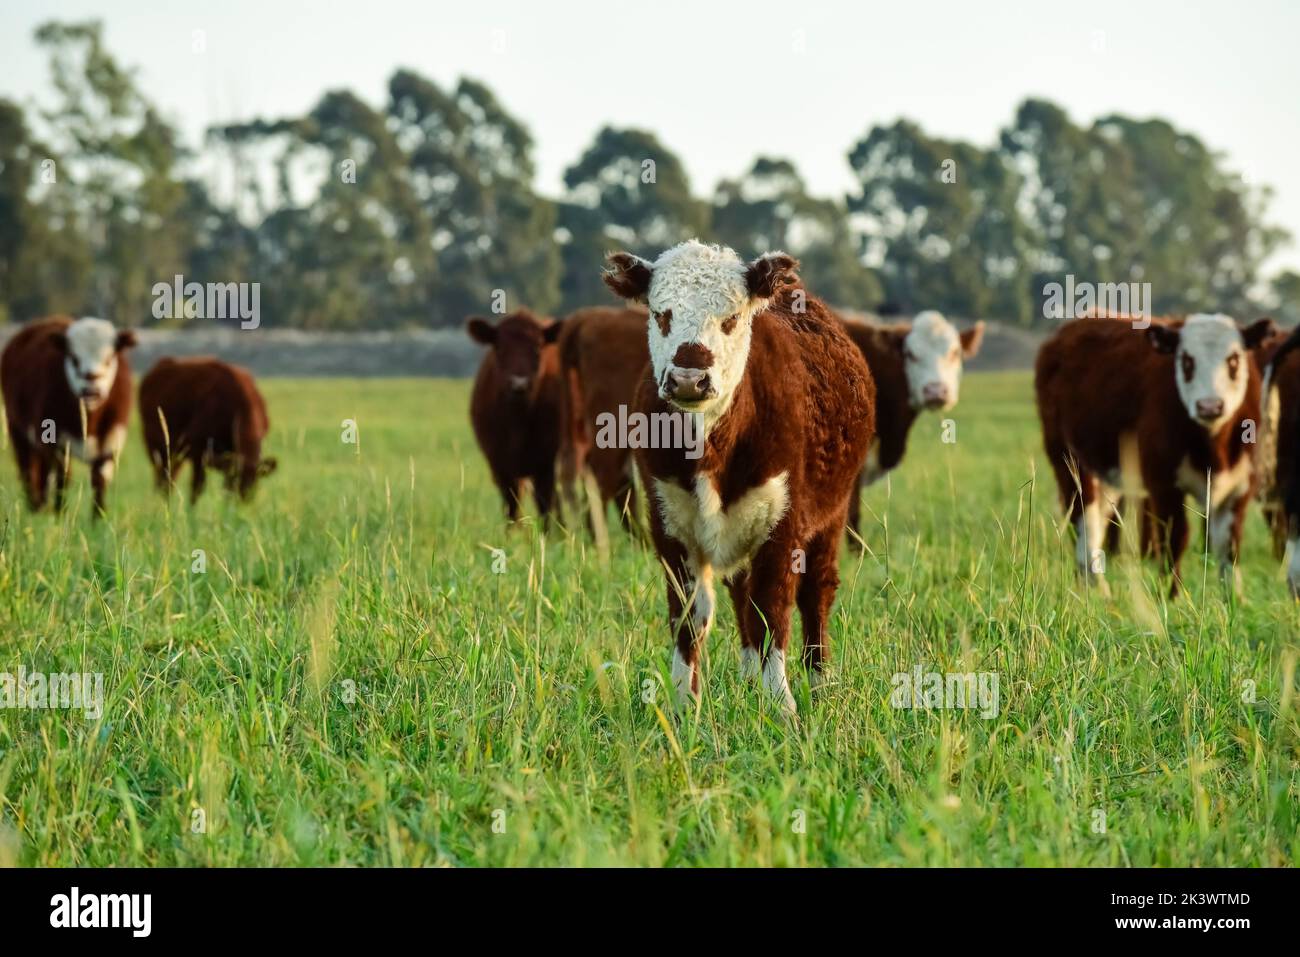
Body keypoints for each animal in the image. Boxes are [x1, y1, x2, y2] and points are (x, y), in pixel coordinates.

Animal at [0, 316, 136, 515]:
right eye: (74, 359)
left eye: (109, 358)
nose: (91, 391)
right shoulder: (54, 443)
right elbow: (62, 478)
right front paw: (59, 514)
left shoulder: (111, 443)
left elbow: (99, 480)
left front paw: (98, 517)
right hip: (18, 431)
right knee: (30, 472)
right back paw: (37, 508)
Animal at [138, 357, 277, 502]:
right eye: (233, 481)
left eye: (254, 483)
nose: (240, 501)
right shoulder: (198, 452)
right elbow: (197, 488)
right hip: (156, 448)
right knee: (162, 480)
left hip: (175, 454)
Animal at [467, 309, 564, 526]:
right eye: (499, 347)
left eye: (538, 347)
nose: (519, 383)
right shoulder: (500, 464)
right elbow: (512, 506)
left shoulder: (546, 464)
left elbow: (545, 504)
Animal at [603, 240, 875, 713]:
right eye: (660, 314)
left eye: (730, 318)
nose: (688, 378)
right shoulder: (668, 524)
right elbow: (690, 617)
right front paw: (683, 706)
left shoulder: (783, 524)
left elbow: (772, 610)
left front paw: (781, 707)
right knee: (740, 593)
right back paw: (750, 680)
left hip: (832, 514)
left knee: (816, 594)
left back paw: (820, 682)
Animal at [1035, 314, 1276, 596]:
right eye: (1186, 360)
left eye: (1233, 359)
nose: (1209, 406)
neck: (1213, 446)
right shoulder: (1163, 484)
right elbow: (1174, 538)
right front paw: (1170, 595)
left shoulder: (1239, 488)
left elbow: (1230, 546)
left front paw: (1233, 598)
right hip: (1067, 460)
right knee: (1083, 518)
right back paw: (1096, 586)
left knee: (1100, 517)